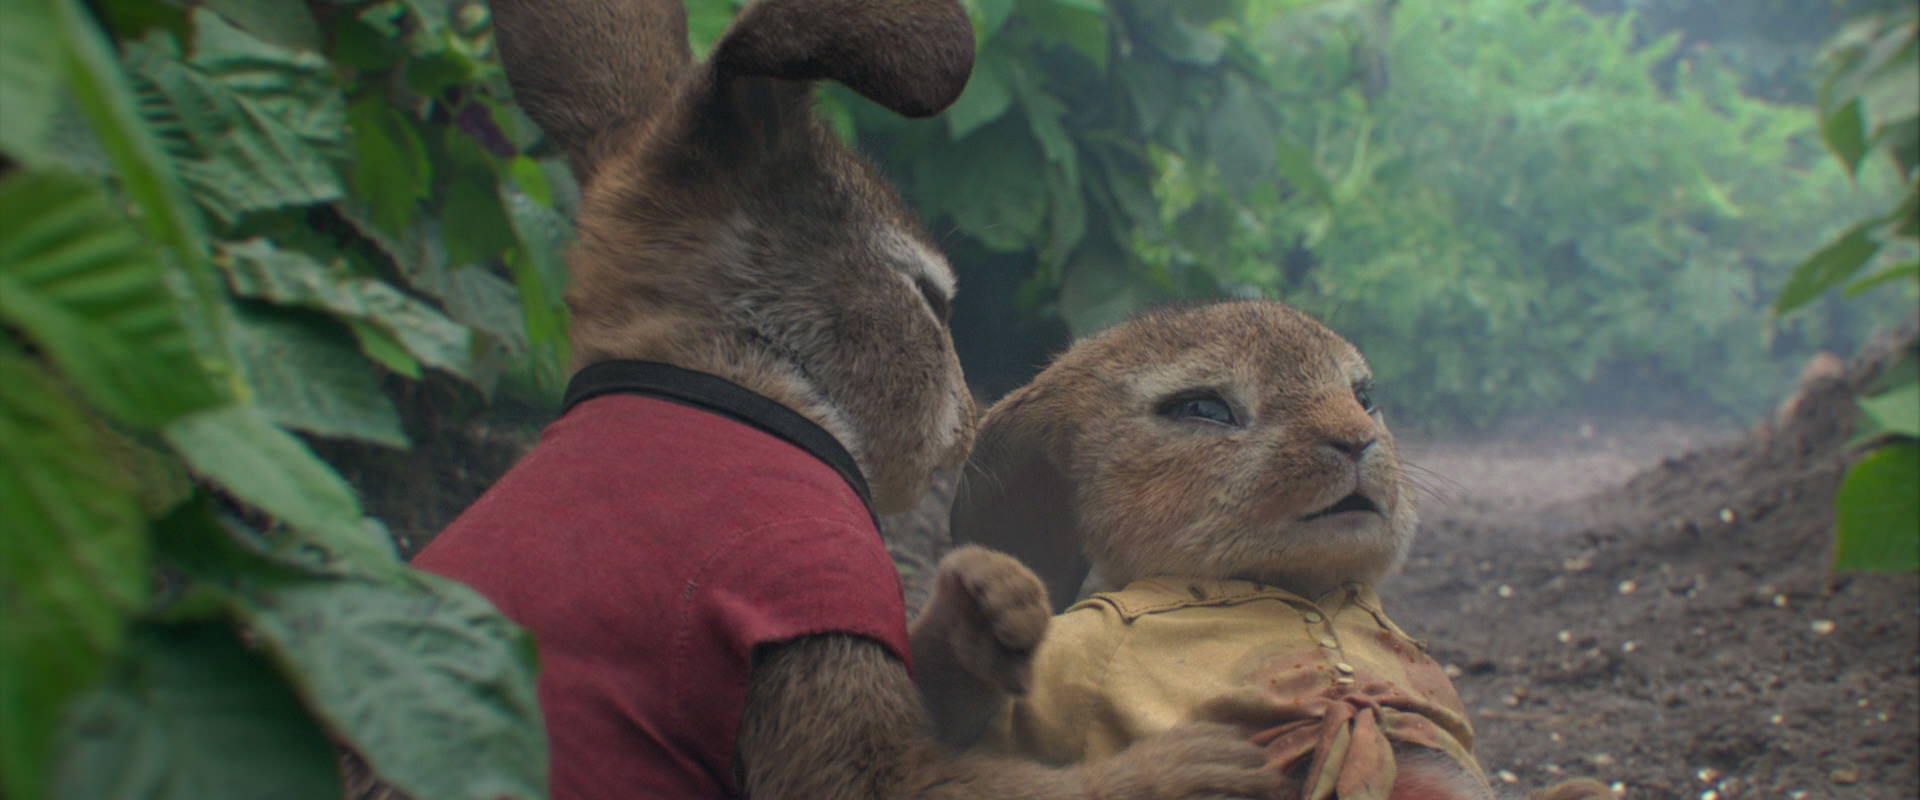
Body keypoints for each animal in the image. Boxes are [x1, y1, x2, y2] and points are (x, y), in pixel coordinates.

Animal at [394, 2, 1280, 799]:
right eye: (929, 298)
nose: (971, 409)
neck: (729, 386)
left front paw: (999, 609)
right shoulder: (818, 611)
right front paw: (1194, 767)